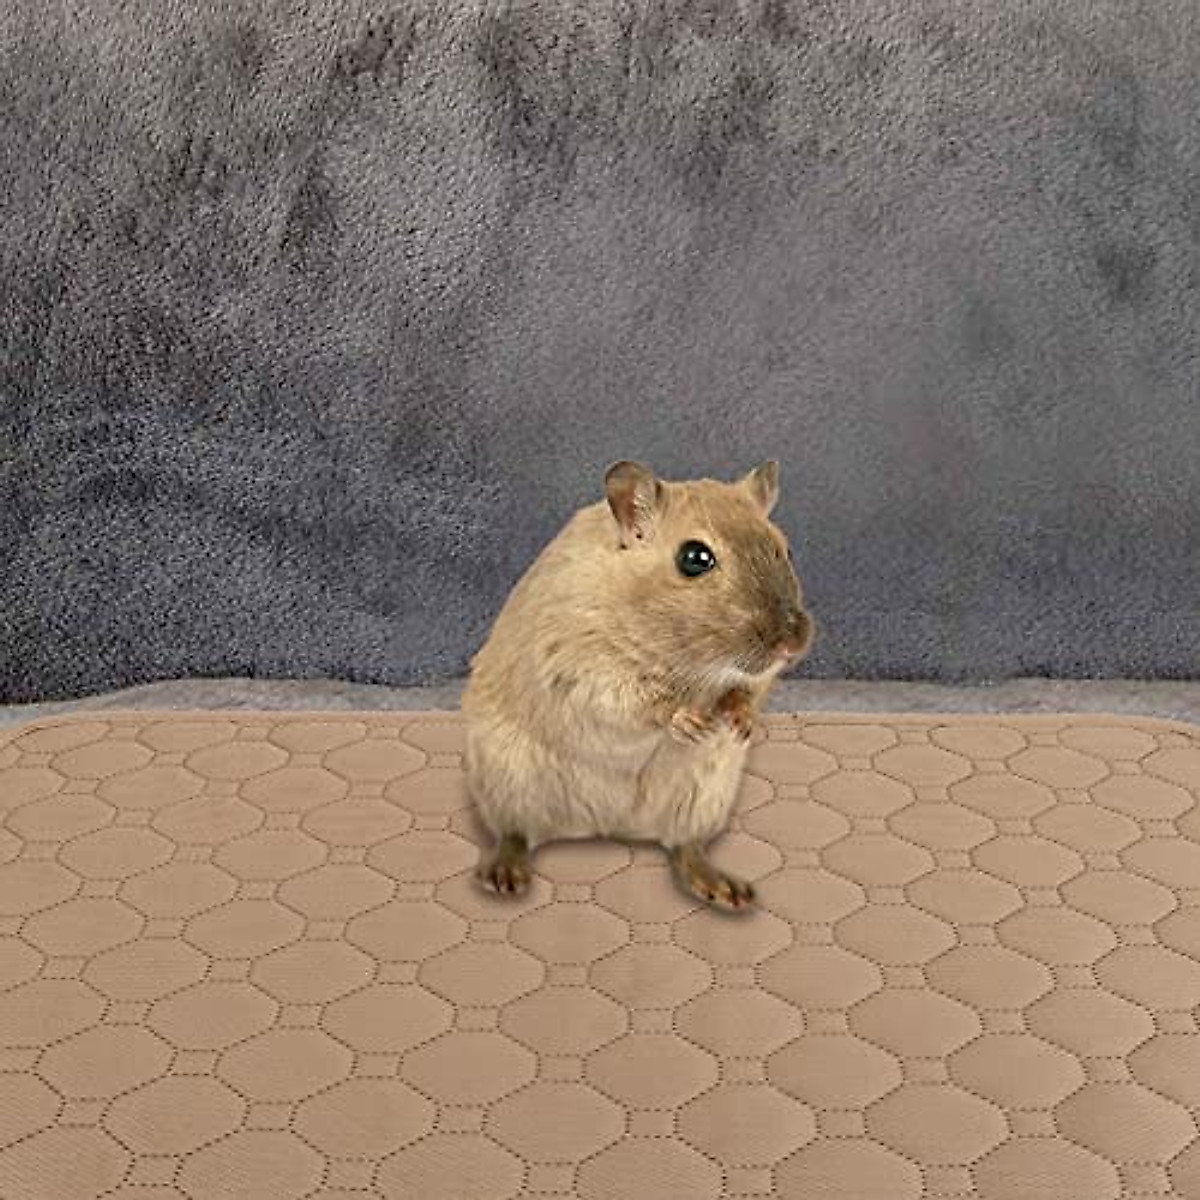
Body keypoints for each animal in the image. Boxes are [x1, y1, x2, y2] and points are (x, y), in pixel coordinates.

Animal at [461, 459, 814, 912]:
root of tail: (604, 827)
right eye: (694, 558)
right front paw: (689, 721)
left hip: (702, 797)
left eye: (786, 549)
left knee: (684, 847)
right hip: (506, 780)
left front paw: (740, 722)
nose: (791, 644)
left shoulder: (756, 679)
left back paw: (722, 886)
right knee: (515, 833)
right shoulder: (581, 664)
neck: (692, 664)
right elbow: (638, 702)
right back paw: (505, 873)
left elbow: (745, 693)